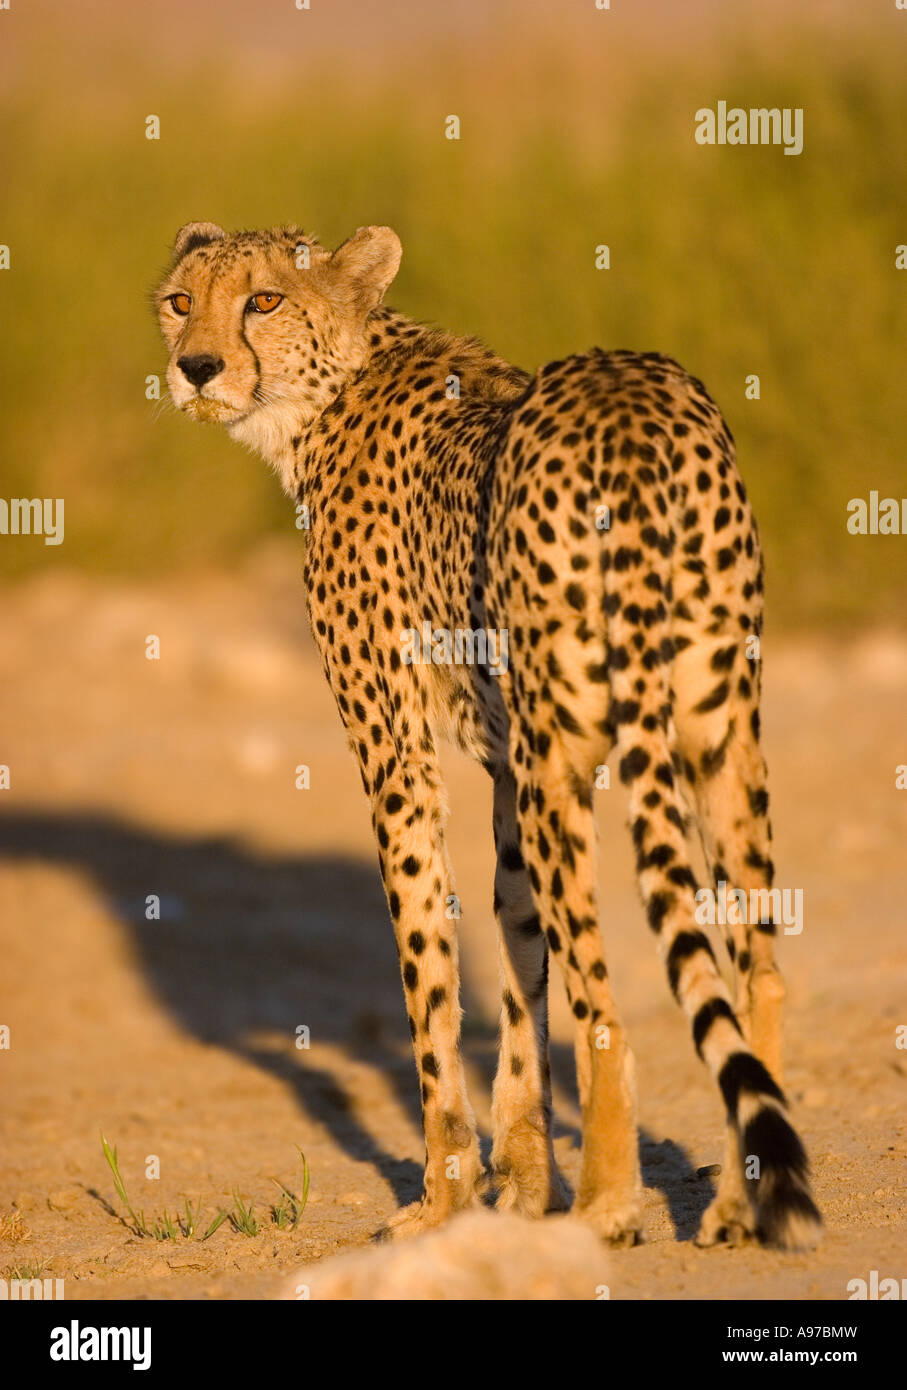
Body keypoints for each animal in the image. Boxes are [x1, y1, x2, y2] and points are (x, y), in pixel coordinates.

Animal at [155, 220, 823, 1251]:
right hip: (715, 732)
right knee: (757, 971)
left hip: (568, 757)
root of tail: (625, 392)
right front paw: (521, 1180)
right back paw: (734, 1205)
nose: (195, 366)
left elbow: (429, 975)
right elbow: (517, 959)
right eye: (181, 300)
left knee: (606, 1001)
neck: (330, 389)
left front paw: (445, 1195)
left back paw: (606, 1207)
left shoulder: (400, 755)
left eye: (263, 300)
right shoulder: (507, 762)